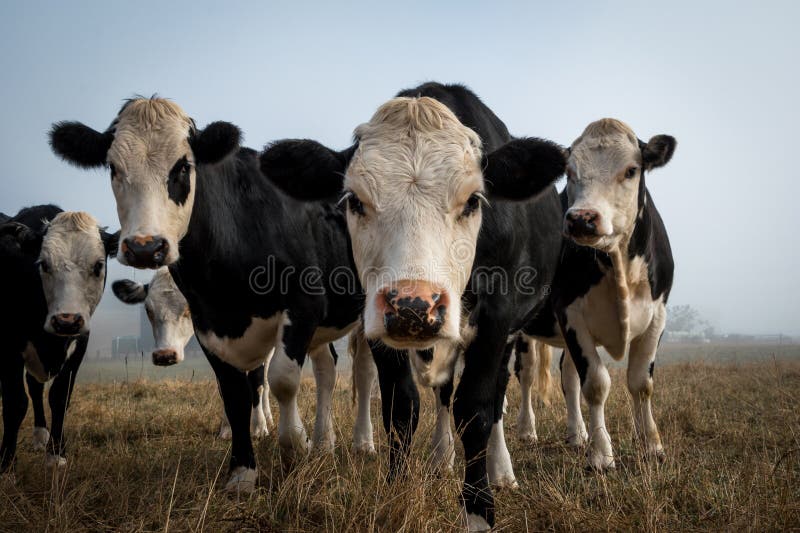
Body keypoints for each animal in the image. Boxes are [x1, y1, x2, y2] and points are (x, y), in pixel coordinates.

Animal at [0, 206, 118, 471]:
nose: (66, 321)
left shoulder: (80, 342)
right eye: (43, 264)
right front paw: (6, 462)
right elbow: (15, 403)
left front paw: (56, 452)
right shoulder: (9, 346)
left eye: (98, 265)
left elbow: (60, 397)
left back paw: (41, 435)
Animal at [49, 97, 372, 492]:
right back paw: (325, 442)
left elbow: (281, 380)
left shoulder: (302, 307)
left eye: (183, 167)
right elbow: (233, 394)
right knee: (327, 368)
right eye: (113, 167)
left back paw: (362, 443)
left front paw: (295, 441)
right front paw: (243, 473)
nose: (145, 247)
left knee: (362, 372)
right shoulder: (210, 325)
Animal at [259, 82, 566, 531]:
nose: (414, 305)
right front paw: (396, 488)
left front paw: (478, 507)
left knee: (495, 399)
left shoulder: (496, 322)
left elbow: (476, 409)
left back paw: (501, 469)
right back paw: (442, 456)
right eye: (354, 200)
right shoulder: (379, 325)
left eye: (473, 200)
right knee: (442, 395)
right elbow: (401, 407)